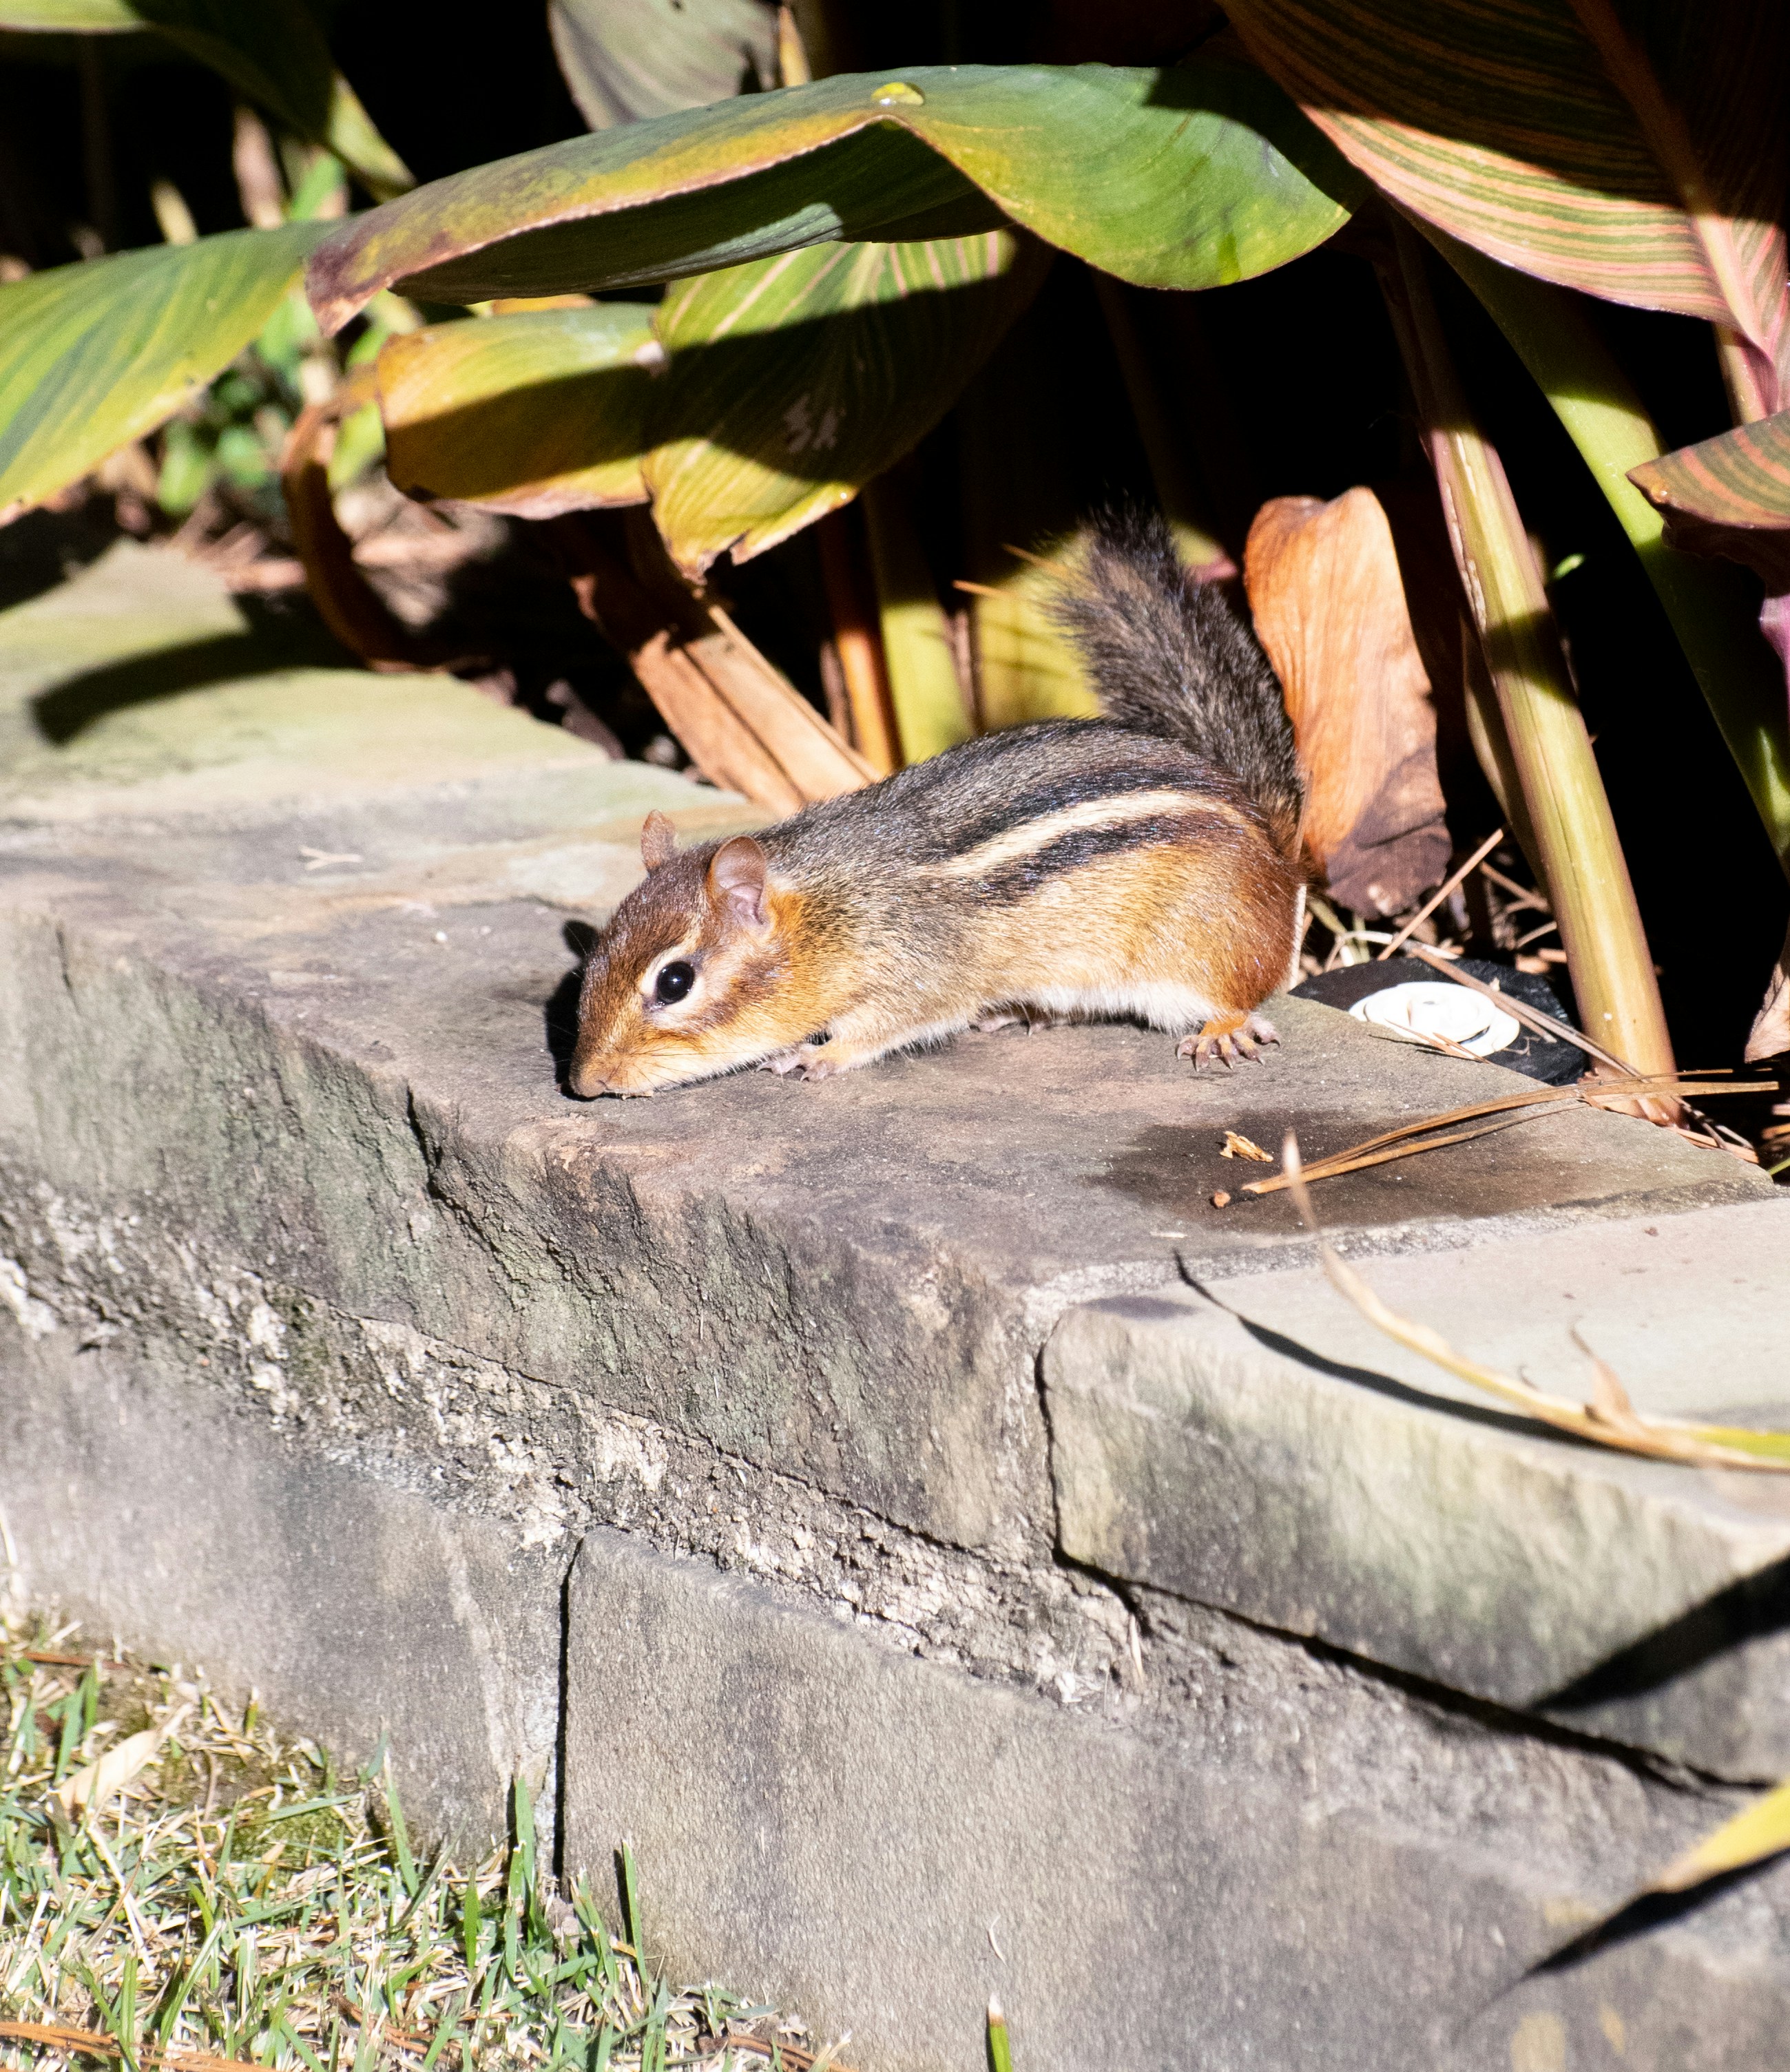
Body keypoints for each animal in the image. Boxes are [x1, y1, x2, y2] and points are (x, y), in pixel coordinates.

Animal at [569, 507, 1306, 1098]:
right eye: (593, 958)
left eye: (674, 982)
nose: (585, 1082)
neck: (824, 915)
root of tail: (1276, 849)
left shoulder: (920, 974)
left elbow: (891, 1024)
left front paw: (821, 1055)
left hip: (1199, 946)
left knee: (1240, 993)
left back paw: (1220, 1027)